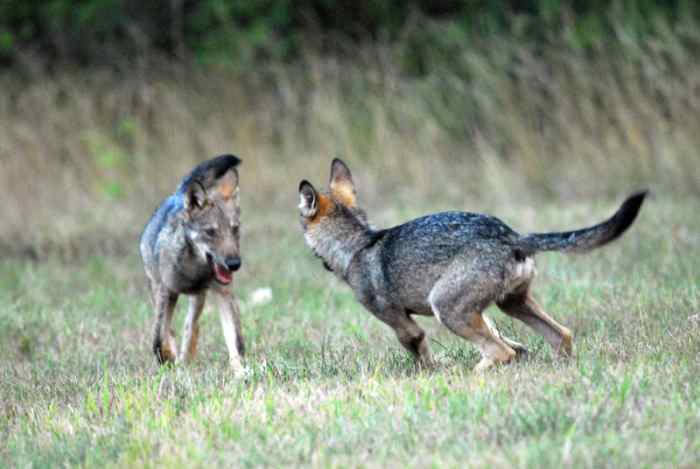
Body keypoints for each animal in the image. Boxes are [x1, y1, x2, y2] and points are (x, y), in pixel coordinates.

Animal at [140, 154, 245, 370]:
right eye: (211, 232)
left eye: (235, 229)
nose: (234, 264)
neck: (195, 271)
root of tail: (178, 194)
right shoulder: (165, 292)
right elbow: (159, 336)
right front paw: (166, 358)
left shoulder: (223, 293)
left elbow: (234, 341)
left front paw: (241, 372)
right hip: (159, 290)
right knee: (171, 329)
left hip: (198, 299)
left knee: (192, 327)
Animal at [298, 158, 646, 372]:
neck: (358, 244)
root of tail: (511, 235)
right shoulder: (483, 314)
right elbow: (503, 335)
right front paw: (523, 350)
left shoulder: (399, 321)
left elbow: (419, 351)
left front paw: (432, 372)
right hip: (511, 304)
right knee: (561, 335)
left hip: (446, 308)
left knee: (499, 353)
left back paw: (470, 372)